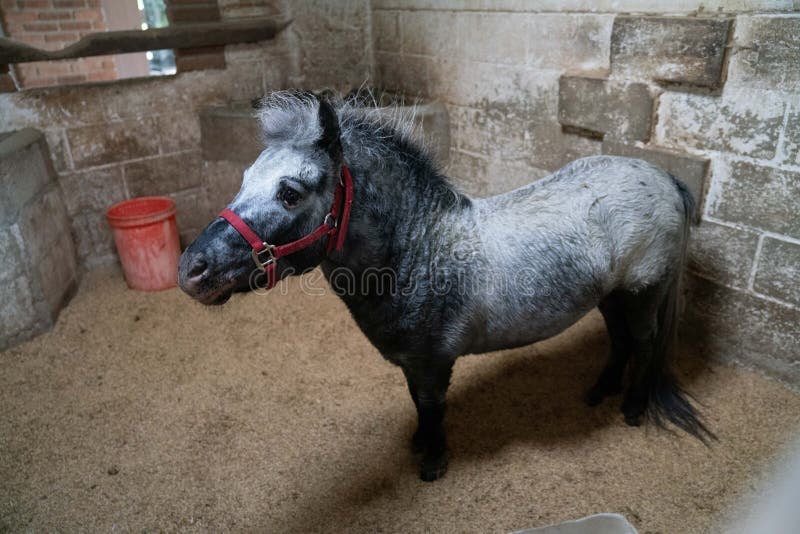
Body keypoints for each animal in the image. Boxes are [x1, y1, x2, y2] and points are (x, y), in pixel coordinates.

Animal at [178, 90, 712, 482]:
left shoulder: (433, 364)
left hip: (641, 294)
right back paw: (598, 392)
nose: (191, 269)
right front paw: (418, 445)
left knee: (644, 345)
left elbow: (432, 409)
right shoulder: (414, 365)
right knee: (620, 341)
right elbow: (418, 406)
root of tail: (665, 177)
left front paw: (432, 463)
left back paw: (633, 408)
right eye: (244, 178)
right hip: (610, 297)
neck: (421, 248)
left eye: (290, 193)